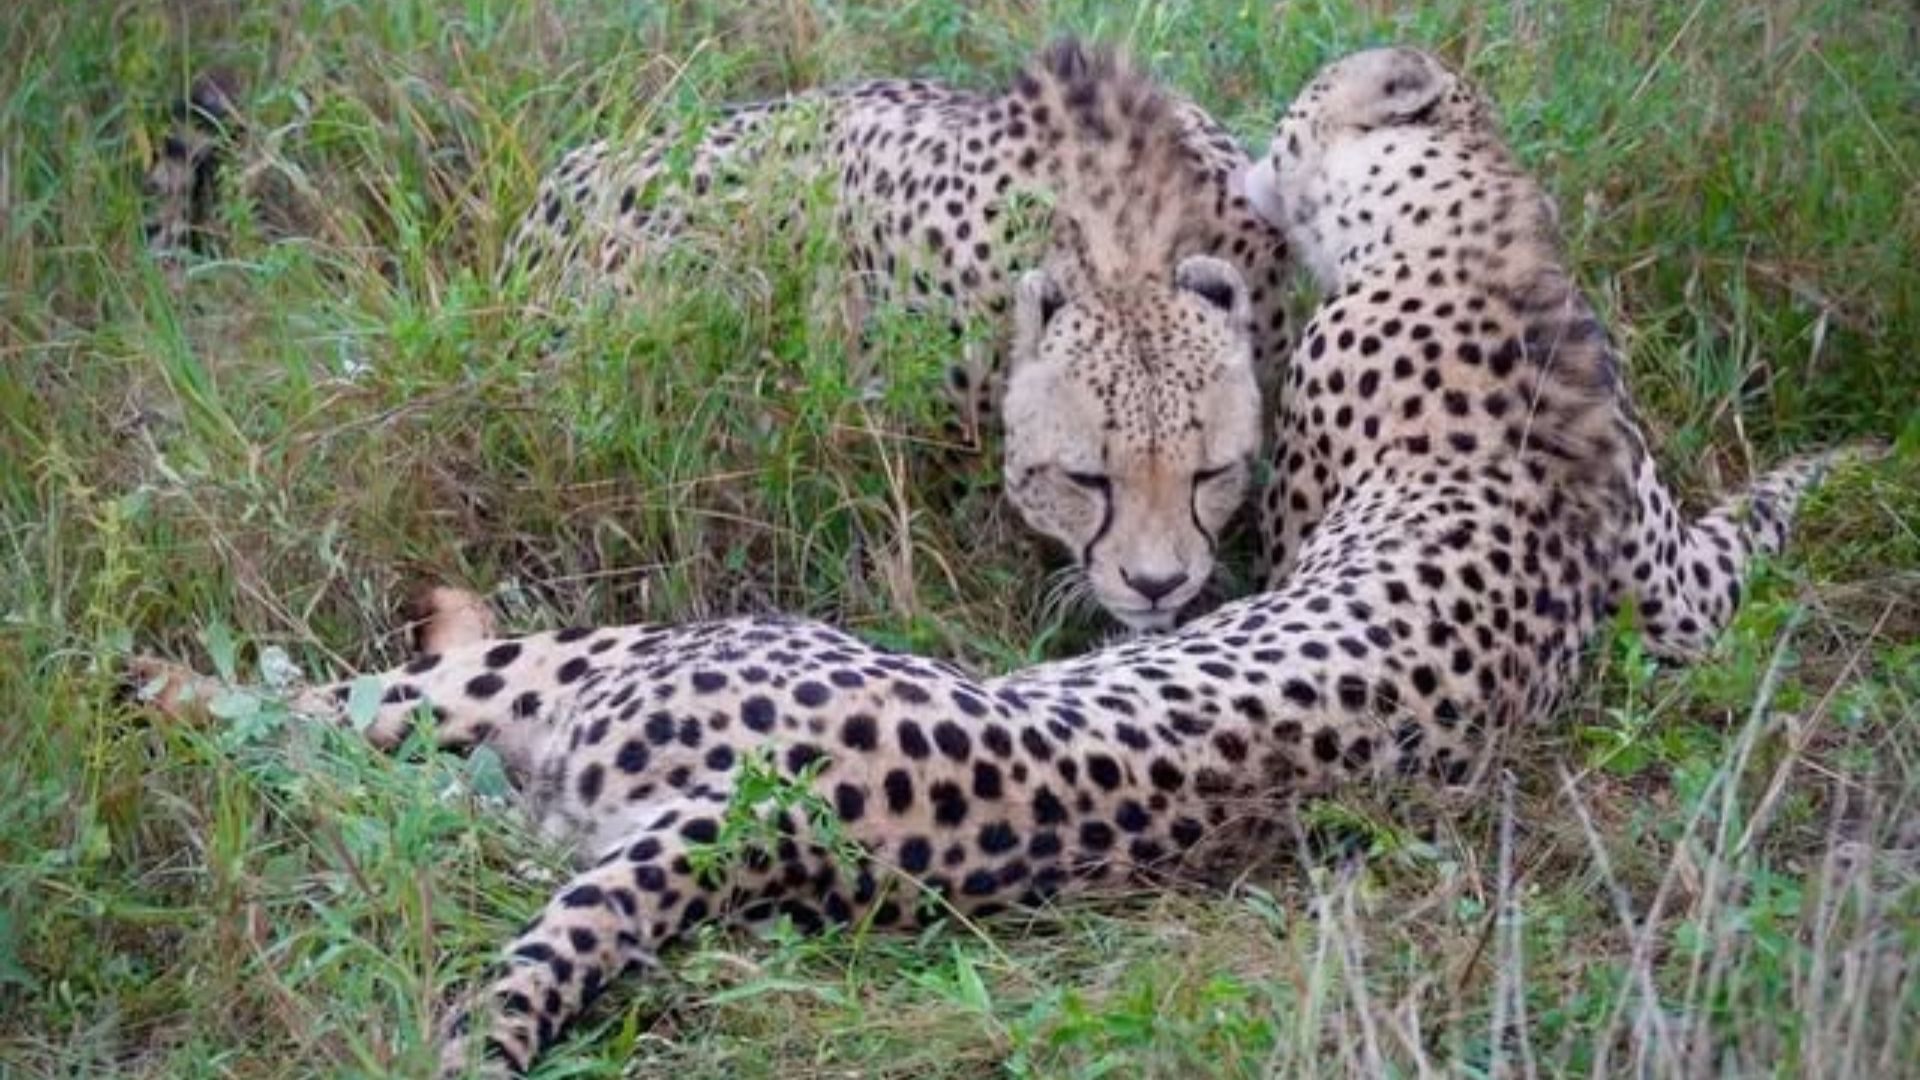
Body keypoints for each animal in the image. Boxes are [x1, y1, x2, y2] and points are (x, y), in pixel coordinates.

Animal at [135, 46, 1868, 1078]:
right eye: (1083, 481)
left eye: (1214, 474)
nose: (1159, 589)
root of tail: (766, 825)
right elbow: (1738, 536)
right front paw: (1853, 466)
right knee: (341, 758)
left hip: (589, 680)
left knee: (291, 714)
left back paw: (139, 678)